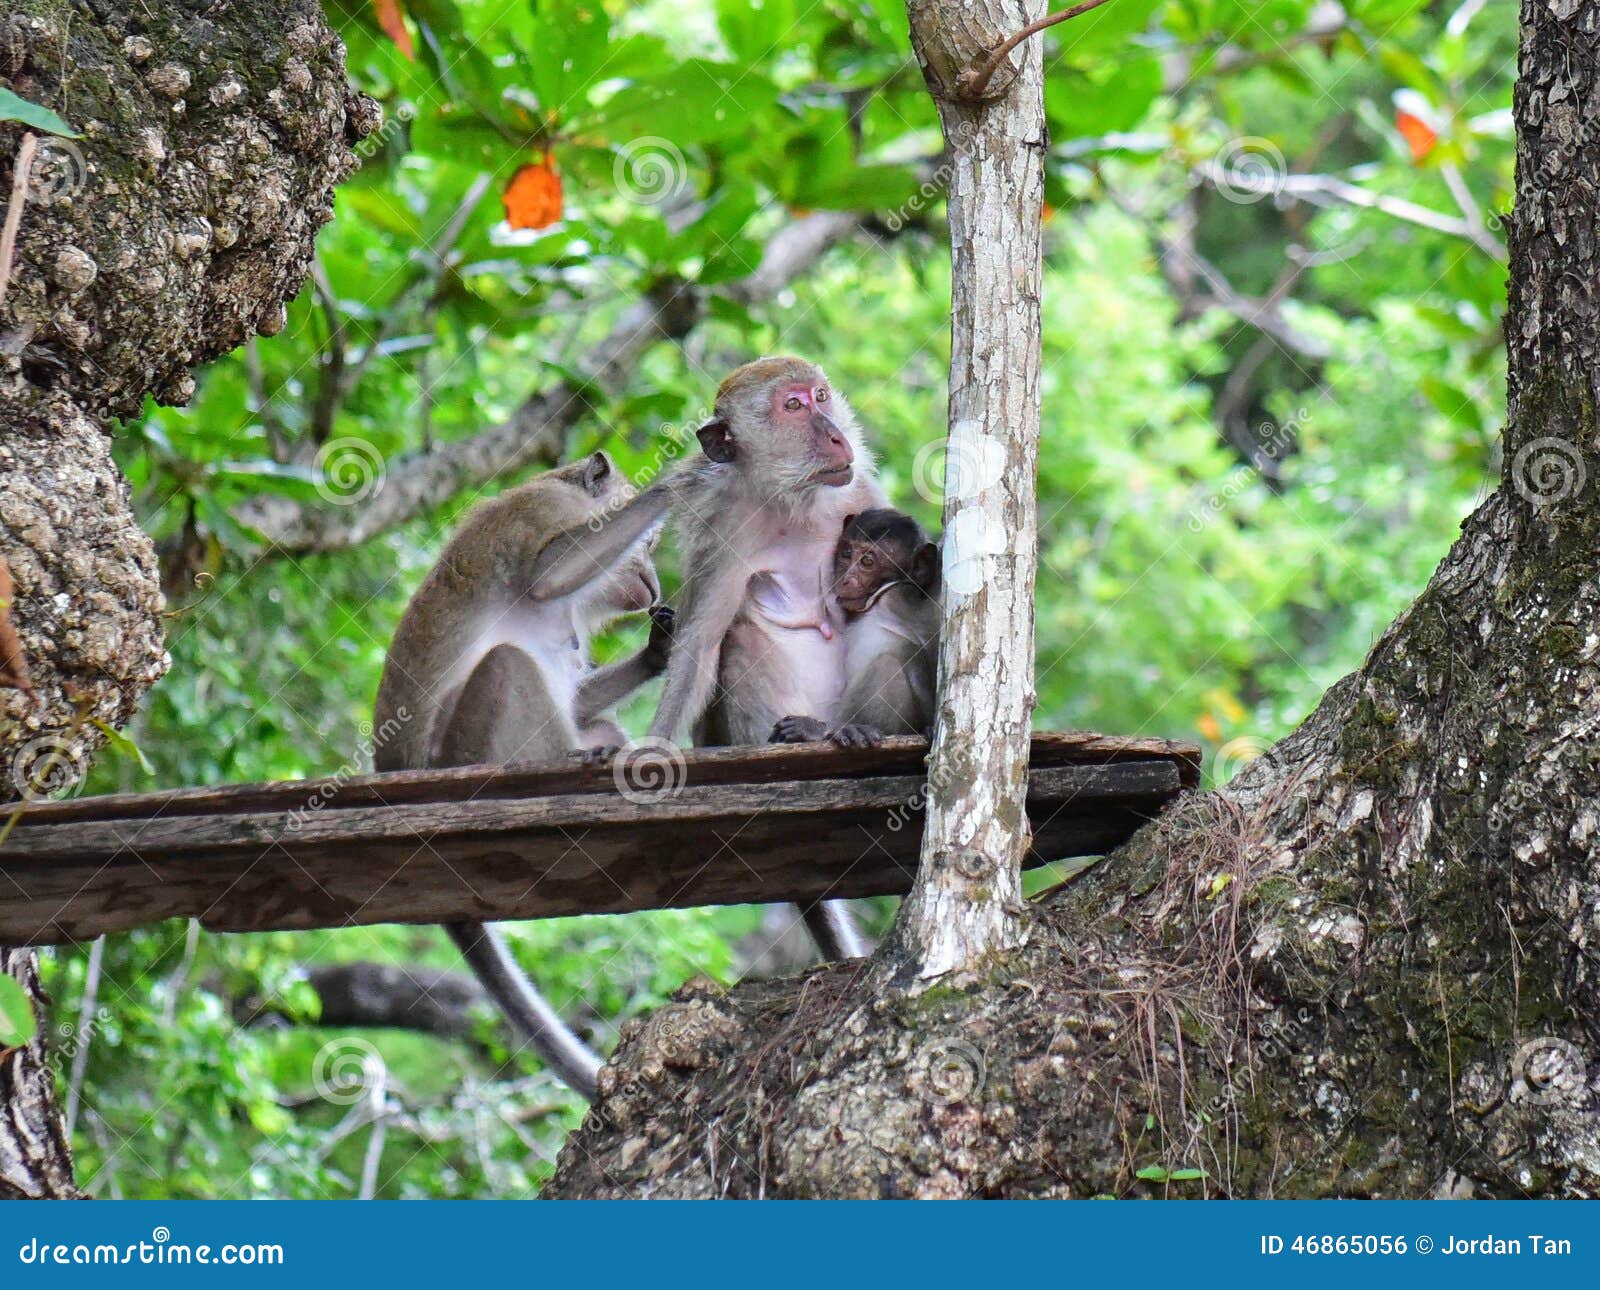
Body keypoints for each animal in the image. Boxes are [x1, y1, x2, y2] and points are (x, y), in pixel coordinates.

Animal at [372, 450, 674, 1098]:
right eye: (646, 542)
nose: (654, 580)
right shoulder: (542, 511)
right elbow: (547, 573)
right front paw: (680, 478)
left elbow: (580, 700)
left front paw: (658, 651)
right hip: (465, 755)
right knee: (507, 665)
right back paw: (575, 763)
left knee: (593, 721)